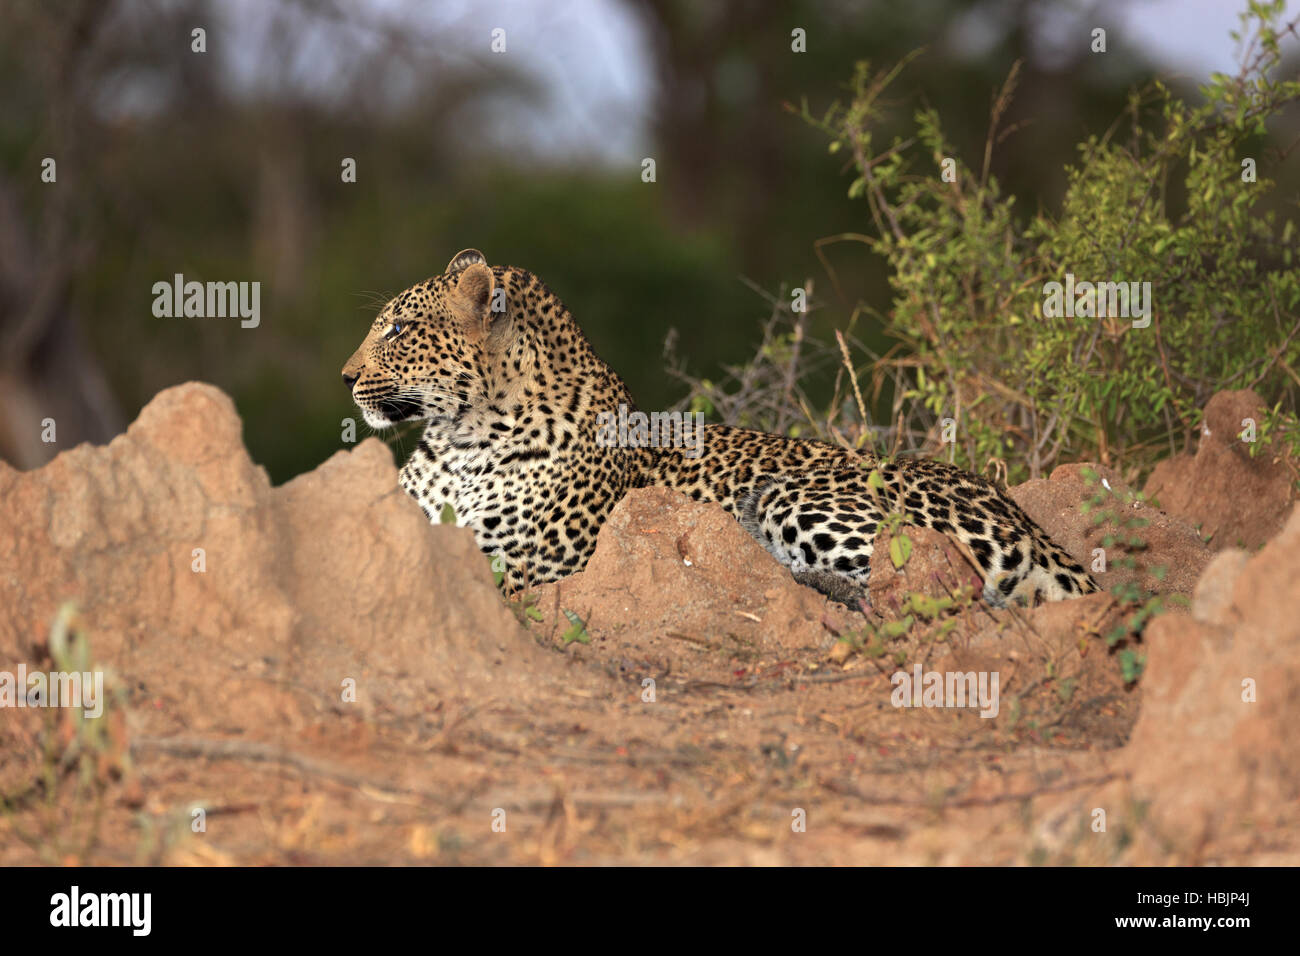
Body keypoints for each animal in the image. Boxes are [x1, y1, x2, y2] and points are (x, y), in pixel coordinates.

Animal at [341, 249, 1098, 608]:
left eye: (398, 330)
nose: (345, 378)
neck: (461, 442)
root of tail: (1022, 514)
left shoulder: (537, 564)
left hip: (793, 494)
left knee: (942, 583)